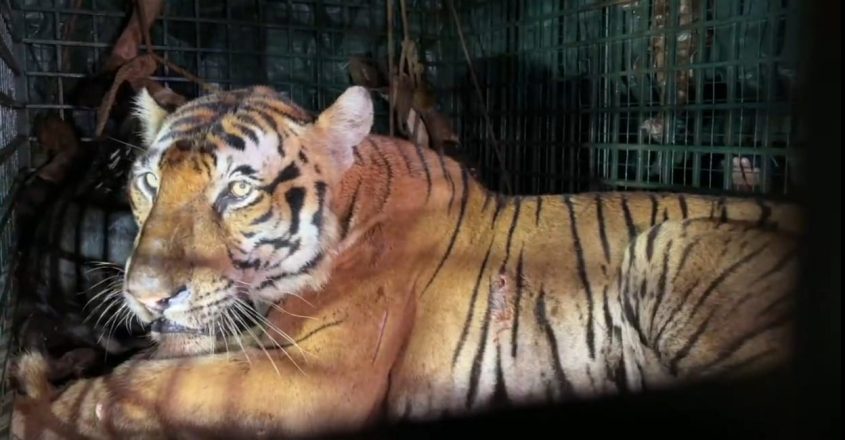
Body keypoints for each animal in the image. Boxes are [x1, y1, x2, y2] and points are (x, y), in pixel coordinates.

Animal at [11, 85, 803, 439]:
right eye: (149, 182)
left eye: (236, 190)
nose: (147, 296)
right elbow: (148, 367)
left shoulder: (316, 380)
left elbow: (140, 390)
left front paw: (39, 402)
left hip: (674, 246)